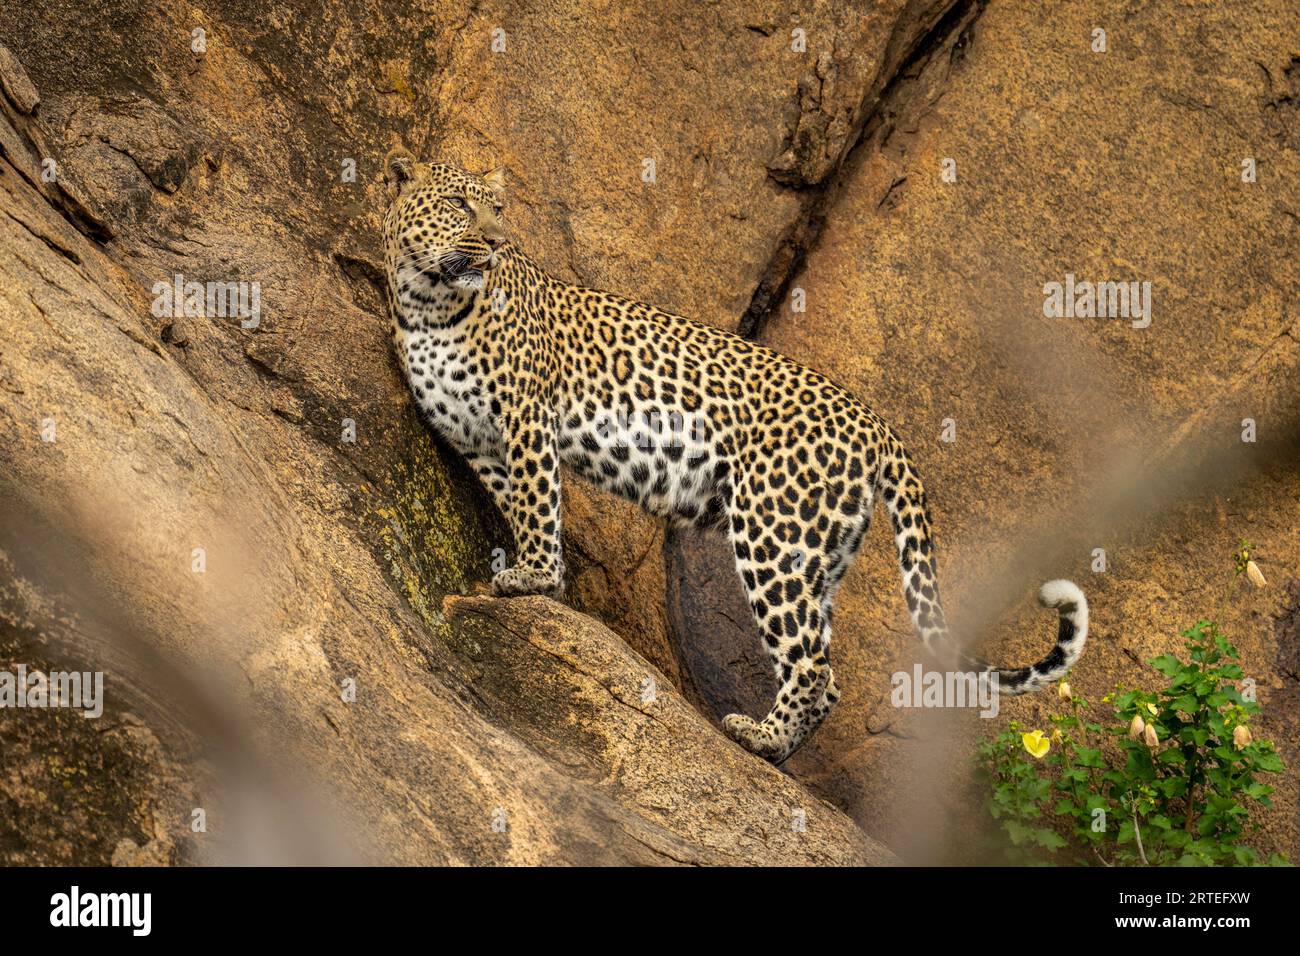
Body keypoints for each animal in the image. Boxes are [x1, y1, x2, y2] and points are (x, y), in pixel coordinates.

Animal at [381, 147, 1089, 764]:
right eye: (458, 205)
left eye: (496, 208)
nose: (497, 243)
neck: (428, 304)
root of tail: (878, 426)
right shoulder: (477, 442)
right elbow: (521, 502)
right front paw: (544, 576)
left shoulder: (527, 419)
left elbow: (536, 502)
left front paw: (531, 577)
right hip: (819, 555)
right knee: (827, 671)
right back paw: (779, 753)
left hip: (772, 531)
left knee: (809, 663)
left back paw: (758, 737)